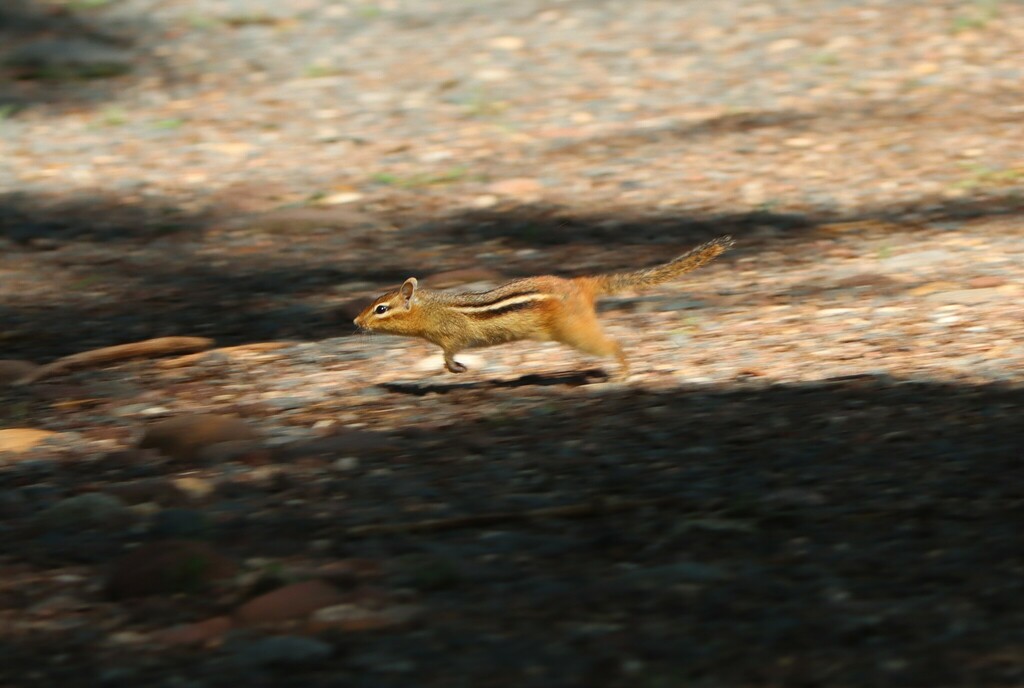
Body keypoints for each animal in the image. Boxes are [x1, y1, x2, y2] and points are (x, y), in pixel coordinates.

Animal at [354, 235, 733, 377]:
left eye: (381, 309)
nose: (356, 322)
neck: (429, 308)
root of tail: (580, 284)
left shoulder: (452, 334)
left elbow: (449, 352)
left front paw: (454, 367)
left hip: (575, 332)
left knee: (613, 344)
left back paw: (623, 373)